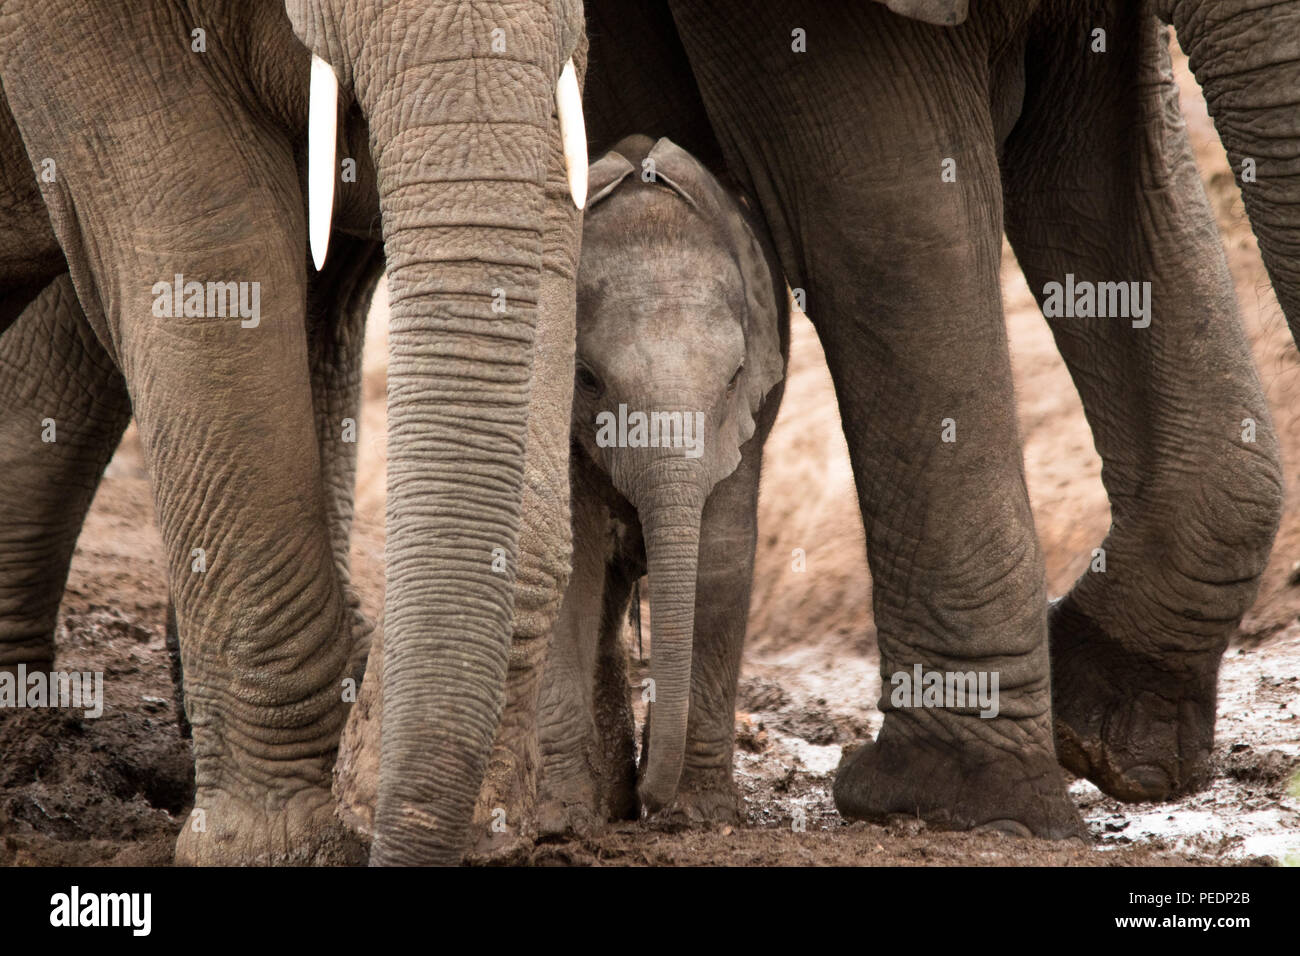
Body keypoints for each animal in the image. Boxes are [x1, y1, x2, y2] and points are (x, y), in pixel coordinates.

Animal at [535, 134, 788, 829]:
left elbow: (723, 553)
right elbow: (575, 561)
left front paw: (700, 818)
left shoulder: (745, 420)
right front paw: (564, 818)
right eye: (587, 378)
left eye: (733, 378)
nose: (654, 798)